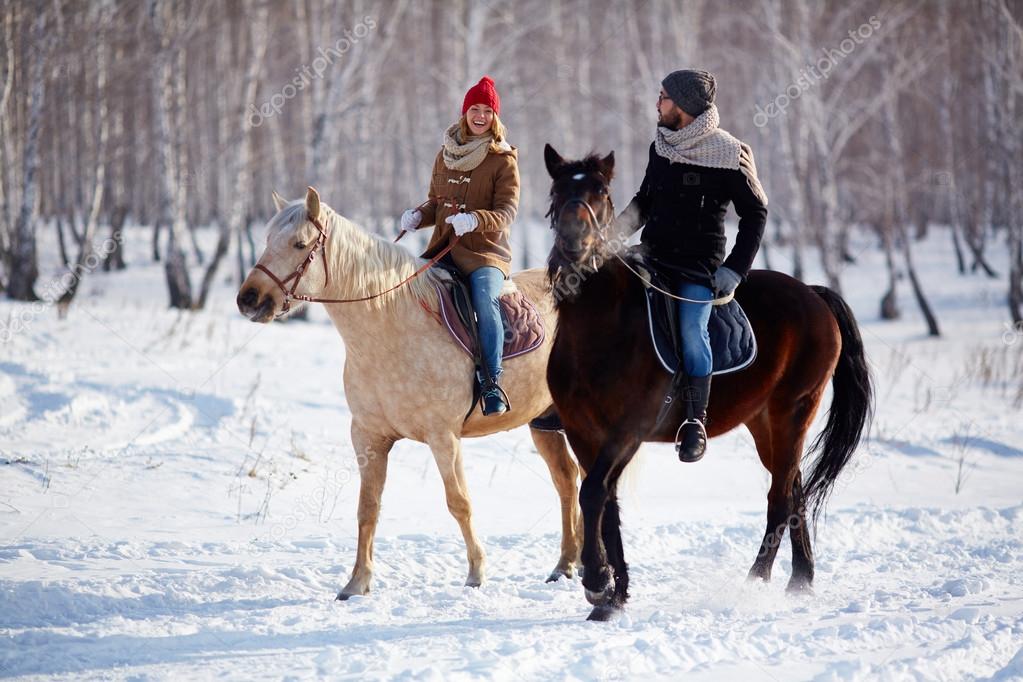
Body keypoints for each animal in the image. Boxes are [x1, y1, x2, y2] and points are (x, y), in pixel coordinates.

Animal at [236, 187, 583, 598]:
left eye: (299, 244)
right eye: (267, 240)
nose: (248, 299)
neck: (392, 326)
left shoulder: (443, 437)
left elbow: (459, 502)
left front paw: (476, 573)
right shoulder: (368, 437)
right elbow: (368, 508)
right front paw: (356, 582)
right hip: (543, 423)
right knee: (568, 481)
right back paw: (566, 565)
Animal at [541, 145, 873, 621]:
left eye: (600, 191)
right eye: (557, 190)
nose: (573, 243)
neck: (601, 324)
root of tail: (813, 293)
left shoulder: (628, 430)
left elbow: (592, 494)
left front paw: (597, 583)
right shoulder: (583, 432)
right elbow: (605, 502)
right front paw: (612, 597)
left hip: (793, 411)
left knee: (780, 498)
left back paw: (756, 582)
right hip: (764, 423)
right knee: (793, 489)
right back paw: (800, 581)